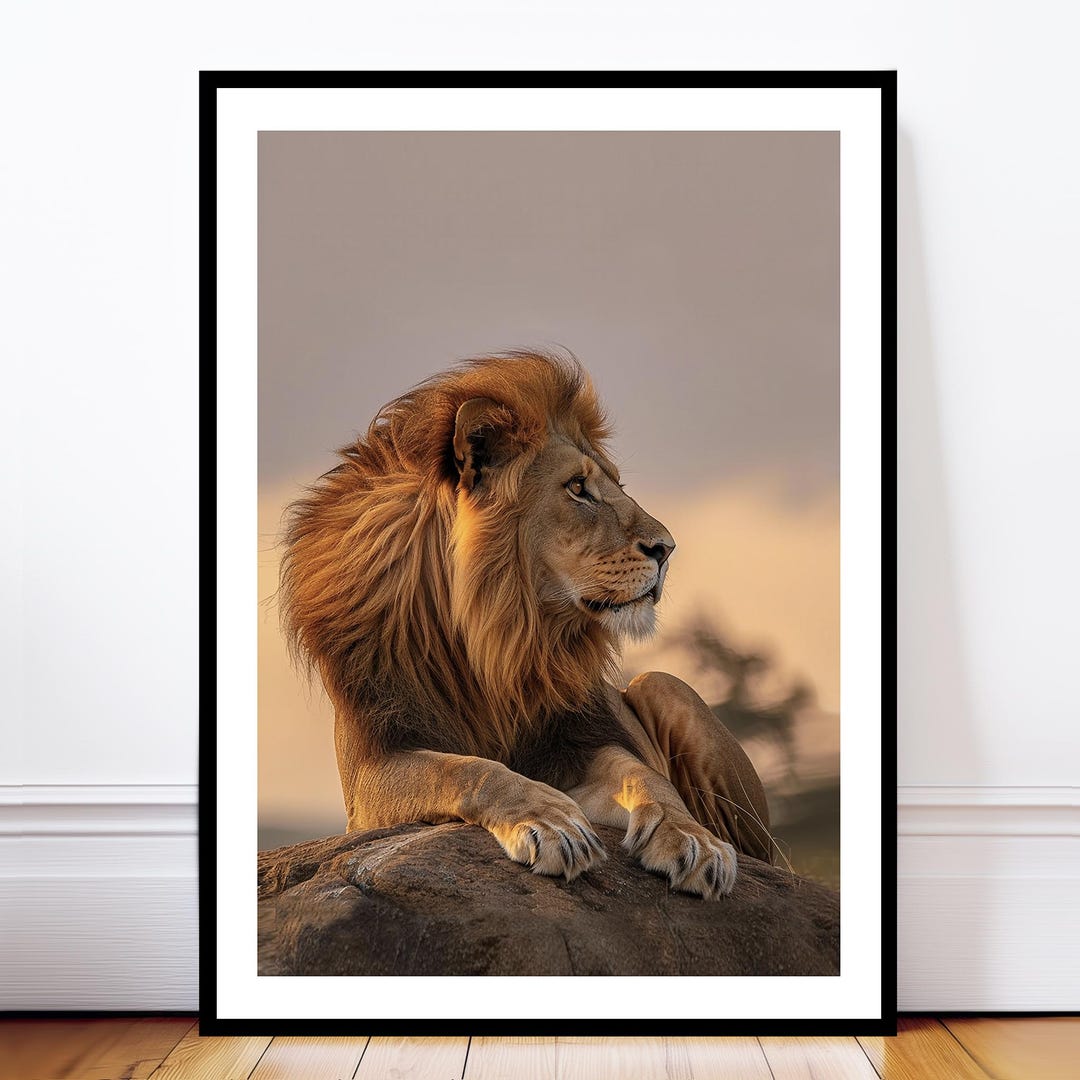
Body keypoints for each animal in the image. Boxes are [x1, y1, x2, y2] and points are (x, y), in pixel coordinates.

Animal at [280, 351, 772, 899]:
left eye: (617, 486)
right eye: (578, 488)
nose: (666, 548)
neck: (499, 639)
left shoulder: (577, 744)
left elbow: (647, 778)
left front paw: (692, 838)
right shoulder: (371, 775)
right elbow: (468, 770)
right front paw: (551, 822)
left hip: (663, 684)